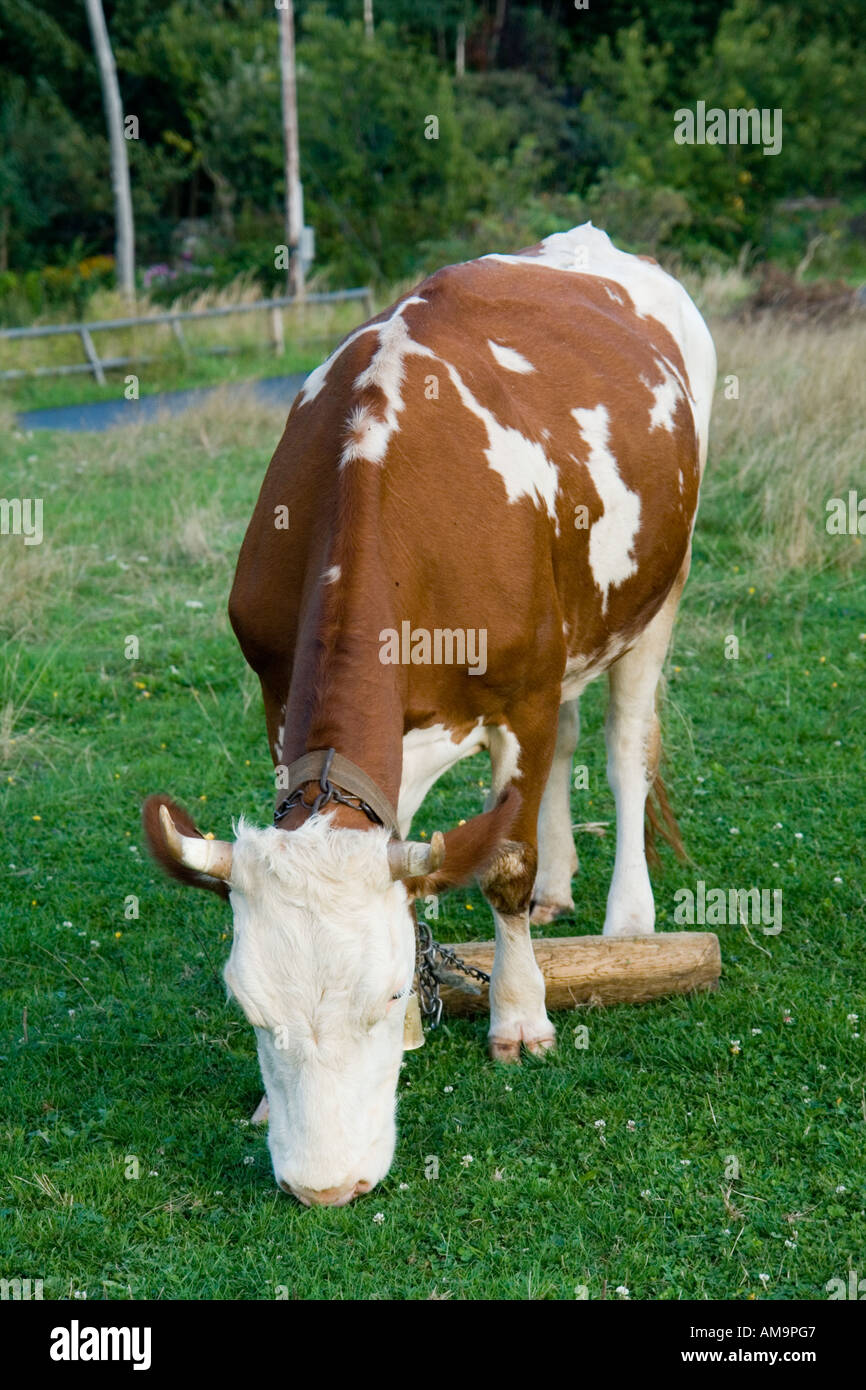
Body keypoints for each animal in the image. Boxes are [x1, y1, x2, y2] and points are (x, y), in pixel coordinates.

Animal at [144, 223, 716, 1207]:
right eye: (248, 1008)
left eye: (374, 1000)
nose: (323, 1187)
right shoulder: (278, 695)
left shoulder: (522, 693)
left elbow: (504, 867)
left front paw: (518, 1018)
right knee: (567, 745)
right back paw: (566, 887)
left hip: (659, 592)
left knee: (622, 748)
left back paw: (627, 918)